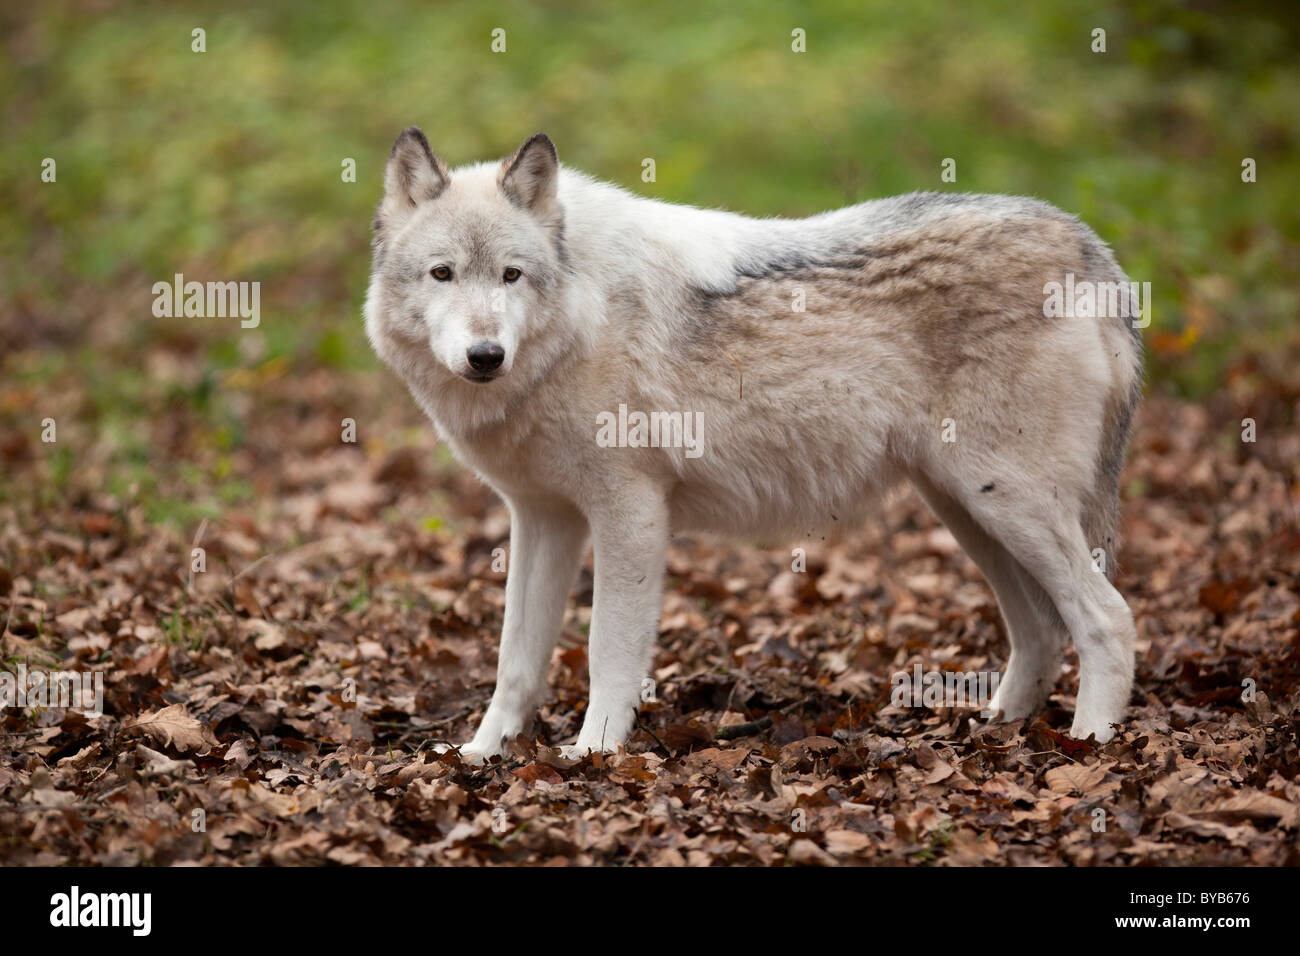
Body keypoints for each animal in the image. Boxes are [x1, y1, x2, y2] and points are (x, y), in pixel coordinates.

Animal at [364, 128, 1143, 760]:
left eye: (511, 275)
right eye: (442, 273)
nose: (485, 355)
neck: (580, 316)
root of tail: (1091, 247)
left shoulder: (630, 512)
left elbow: (605, 651)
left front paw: (592, 754)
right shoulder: (542, 518)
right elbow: (515, 662)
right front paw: (482, 754)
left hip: (1006, 504)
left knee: (1108, 617)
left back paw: (1090, 743)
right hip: (968, 511)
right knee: (1041, 630)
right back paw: (999, 729)